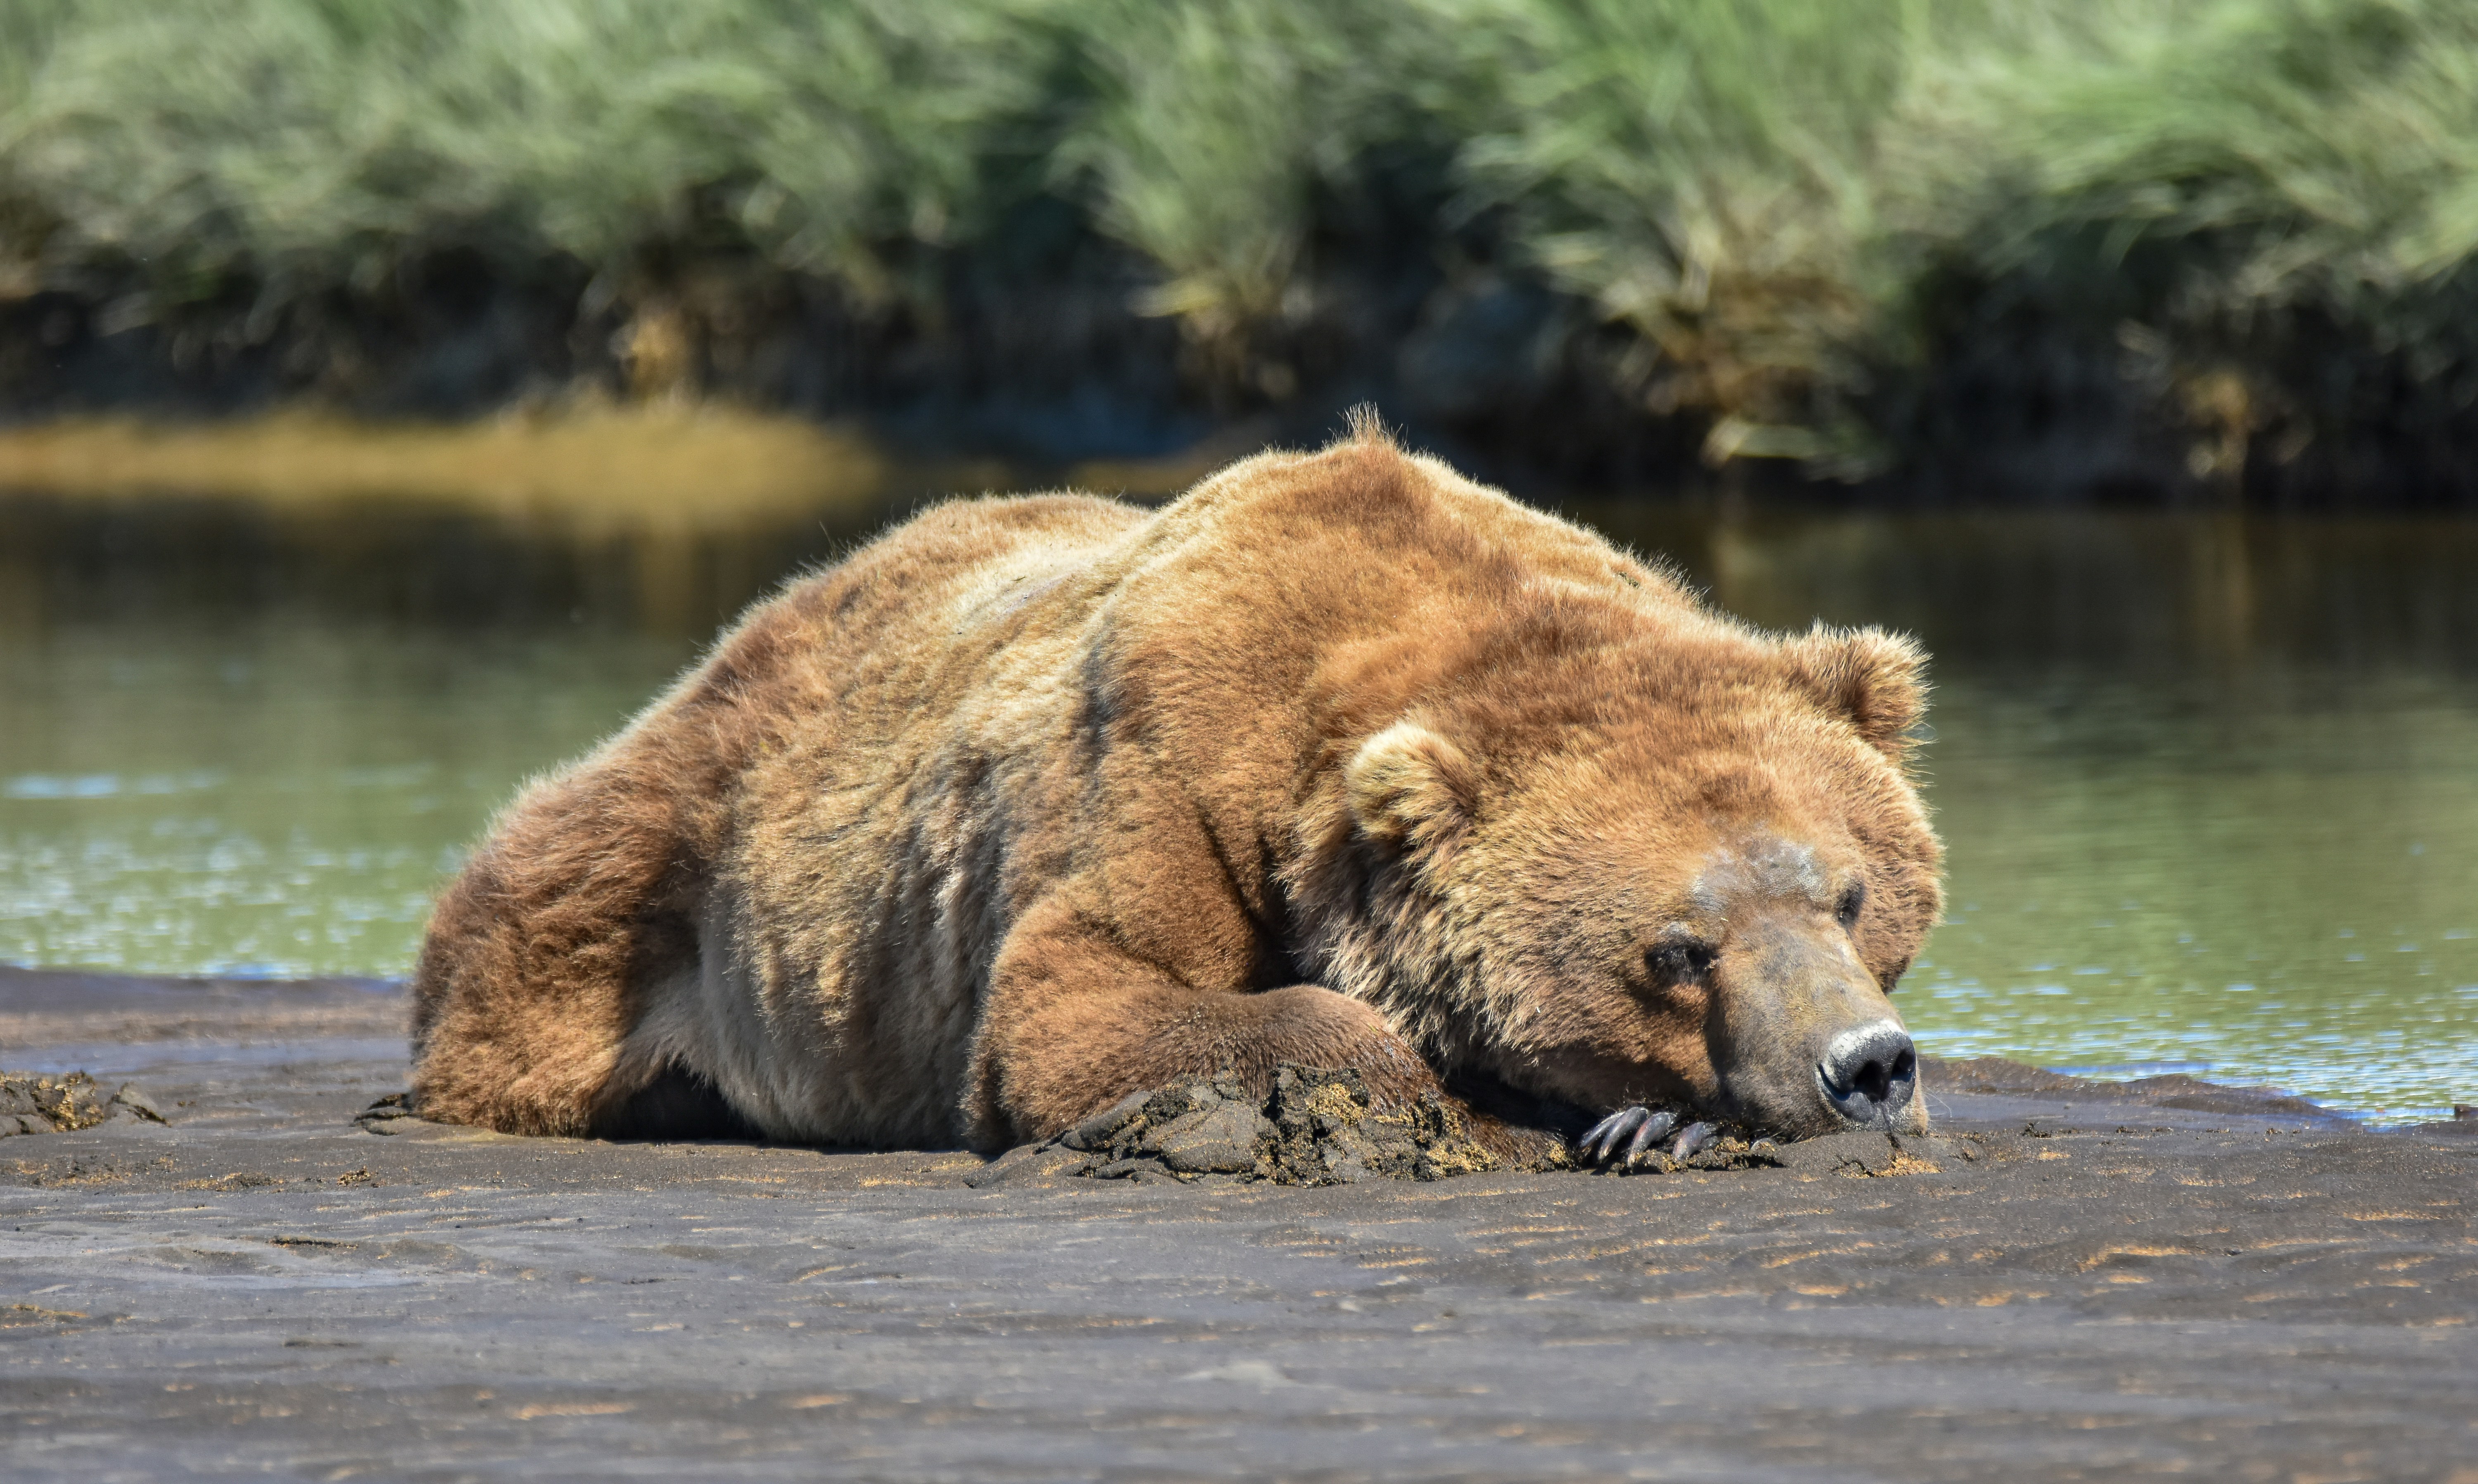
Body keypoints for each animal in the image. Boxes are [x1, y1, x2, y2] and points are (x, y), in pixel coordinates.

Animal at [408, 417, 1941, 1165]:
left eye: (1850, 893)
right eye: (1675, 949)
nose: (1866, 1066)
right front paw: (1507, 1100)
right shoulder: (1172, 777)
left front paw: (1657, 1119)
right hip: (671, 853)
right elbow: (1079, 999)